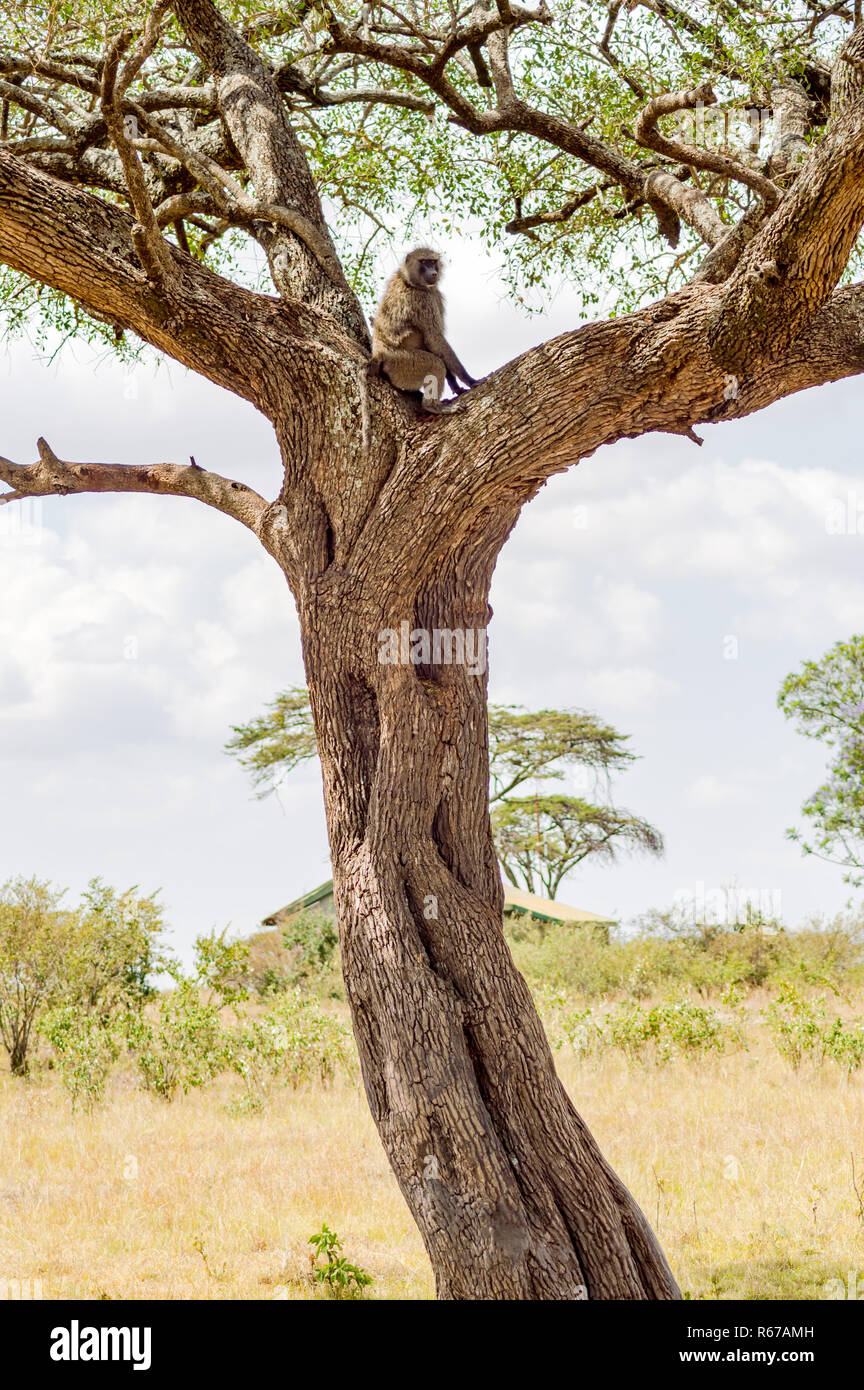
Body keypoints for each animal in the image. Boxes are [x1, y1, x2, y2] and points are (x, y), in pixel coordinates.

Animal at [368, 248, 477, 412]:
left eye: (433, 262)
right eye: (424, 262)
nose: (433, 273)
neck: (409, 280)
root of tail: (378, 353)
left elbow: (433, 344)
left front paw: (456, 386)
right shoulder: (425, 299)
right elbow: (434, 339)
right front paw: (470, 380)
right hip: (400, 362)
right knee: (436, 364)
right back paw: (433, 407)